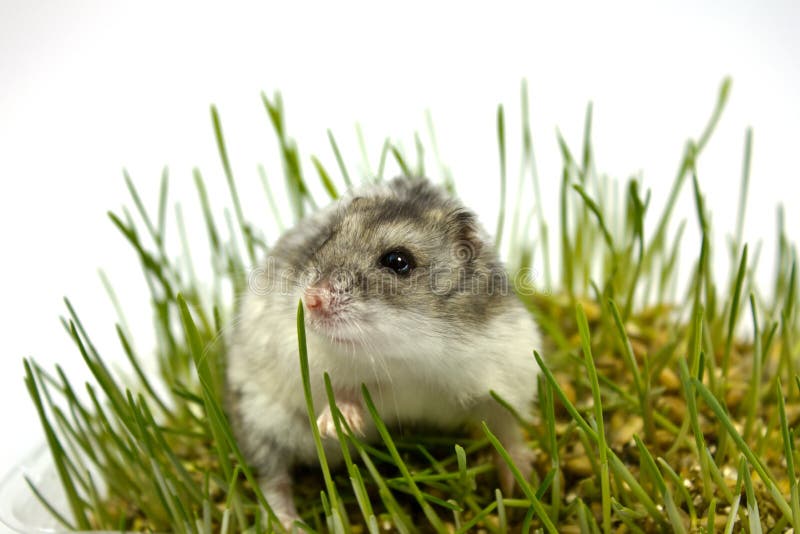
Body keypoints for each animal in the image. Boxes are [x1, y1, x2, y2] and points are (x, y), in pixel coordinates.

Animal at [226, 176, 542, 527]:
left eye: (398, 262)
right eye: (326, 240)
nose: (310, 299)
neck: (407, 353)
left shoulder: (505, 378)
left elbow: (507, 430)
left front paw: (523, 483)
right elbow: (343, 392)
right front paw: (335, 425)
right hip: (258, 416)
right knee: (272, 477)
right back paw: (289, 523)